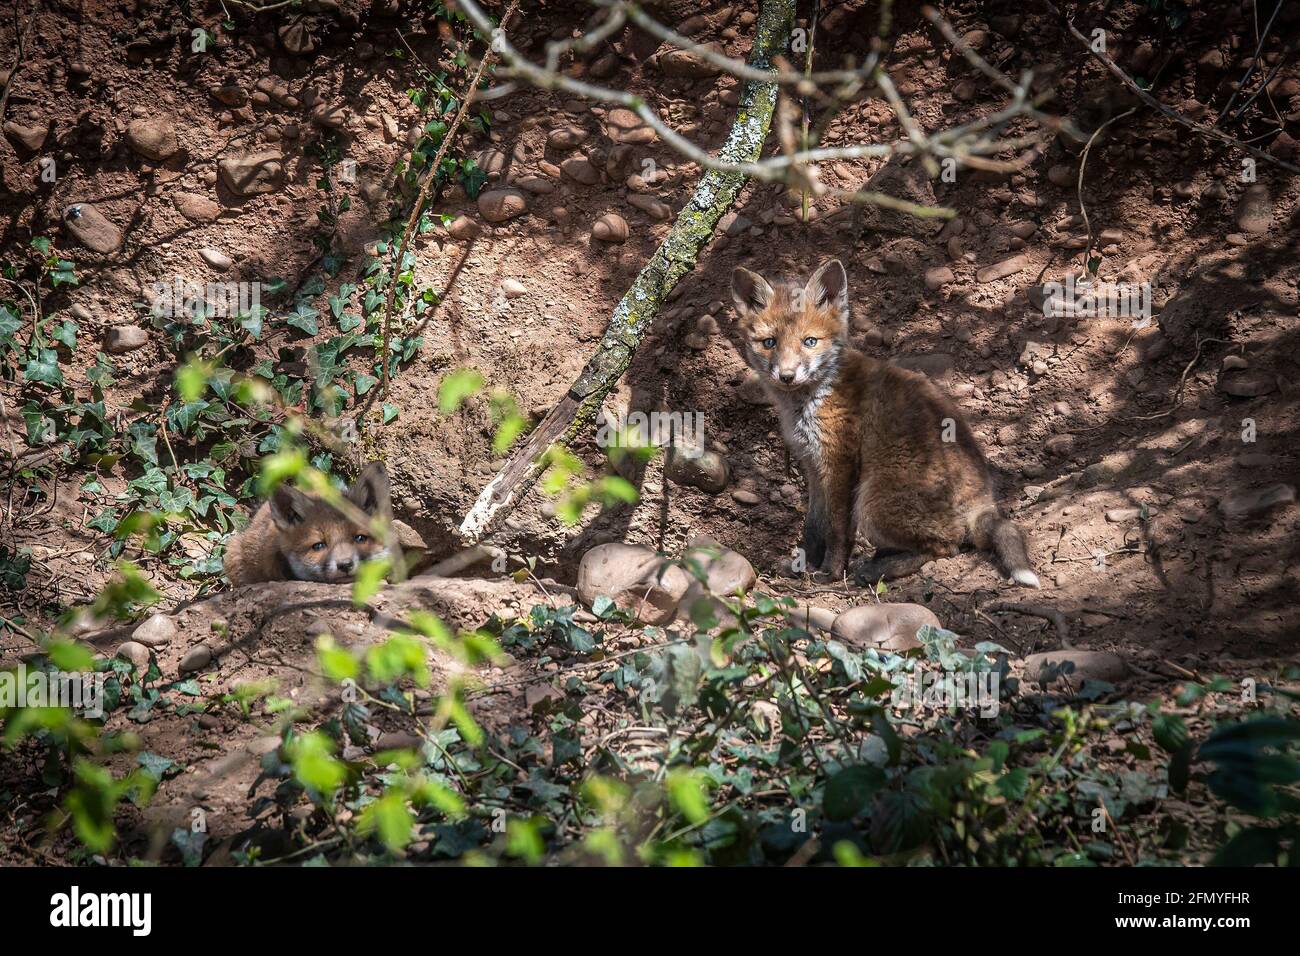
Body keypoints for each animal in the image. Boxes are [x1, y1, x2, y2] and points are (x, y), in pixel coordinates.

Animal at [729, 259, 1040, 588]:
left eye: (809, 341)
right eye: (769, 343)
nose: (786, 376)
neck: (814, 397)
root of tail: (983, 498)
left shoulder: (838, 464)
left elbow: (836, 530)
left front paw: (830, 573)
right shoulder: (813, 465)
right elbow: (813, 527)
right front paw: (802, 565)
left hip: (871, 503)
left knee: (948, 547)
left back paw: (879, 569)